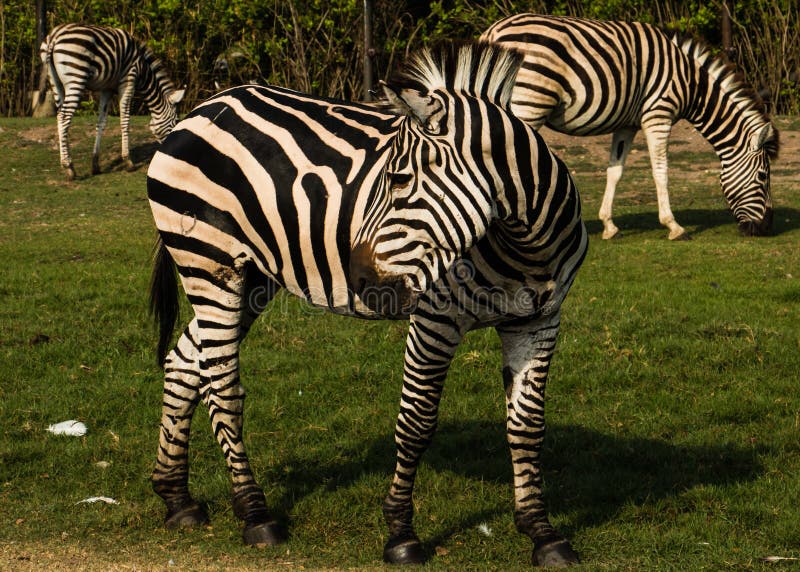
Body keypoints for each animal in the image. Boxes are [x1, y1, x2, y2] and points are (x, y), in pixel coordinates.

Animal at [40, 23, 185, 180]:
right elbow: (125, 120)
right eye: (176, 121)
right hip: (76, 77)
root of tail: (54, 36)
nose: (173, 153)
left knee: (59, 117)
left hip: (55, 82)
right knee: (64, 117)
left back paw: (66, 163)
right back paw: (69, 167)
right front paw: (128, 161)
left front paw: (95, 164)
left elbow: (101, 123)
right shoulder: (128, 80)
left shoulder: (107, 89)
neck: (142, 69)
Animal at [147, 42, 587, 567]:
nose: (358, 280)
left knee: (184, 362)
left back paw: (176, 498)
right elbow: (416, 423)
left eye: (397, 179)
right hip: (209, 265)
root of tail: (202, 109)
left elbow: (527, 427)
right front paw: (400, 534)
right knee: (222, 387)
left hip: (252, 278)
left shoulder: (539, 320)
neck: (527, 244)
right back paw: (254, 514)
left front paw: (542, 532)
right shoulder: (435, 317)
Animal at [481, 14, 779, 240]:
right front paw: (674, 226)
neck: (692, 85)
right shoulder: (658, 115)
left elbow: (615, 171)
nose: (765, 228)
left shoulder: (627, 125)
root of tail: (493, 31)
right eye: (763, 176)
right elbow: (661, 171)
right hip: (528, 103)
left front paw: (609, 225)